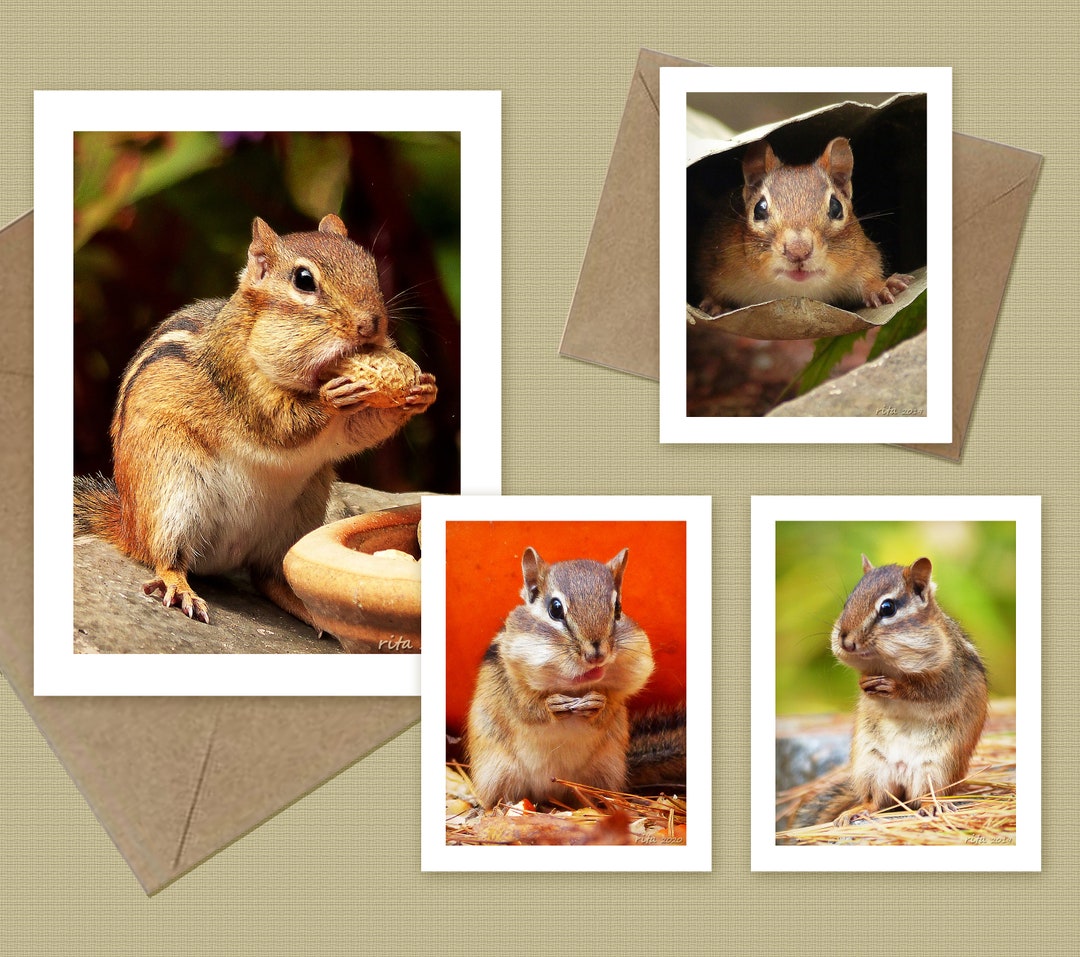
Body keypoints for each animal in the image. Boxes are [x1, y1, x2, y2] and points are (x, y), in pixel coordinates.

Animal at [73, 214, 436, 625]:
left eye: (372, 268)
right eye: (304, 280)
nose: (371, 325)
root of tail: (127, 524)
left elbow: (357, 432)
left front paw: (422, 390)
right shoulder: (240, 383)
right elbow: (280, 424)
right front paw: (332, 397)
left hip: (302, 513)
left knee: (269, 577)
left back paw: (310, 612)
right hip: (171, 490)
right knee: (164, 557)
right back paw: (179, 586)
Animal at [465, 546, 661, 809]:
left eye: (618, 608)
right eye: (555, 609)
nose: (596, 655)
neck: (574, 688)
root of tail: (548, 790)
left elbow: (610, 704)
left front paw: (597, 703)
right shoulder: (511, 685)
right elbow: (527, 706)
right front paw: (553, 704)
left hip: (605, 771)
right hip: (497, 772)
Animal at [694, 136, 914, 316]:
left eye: (836, 207)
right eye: (759, 209)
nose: (798, 251)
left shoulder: (863, 254)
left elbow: (870, 270)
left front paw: (882, 286)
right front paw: (715, 304)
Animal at [797, 555, 988, 828]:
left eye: (887, 608)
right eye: (848, 602)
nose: (845, 640)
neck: (889, 662)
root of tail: (902, 774)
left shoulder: (951, 674)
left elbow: (928, 690)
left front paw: (894, 686)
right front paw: (865, 683)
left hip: (937, 769)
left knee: (927, 795)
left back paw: (932, 806)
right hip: (870, 767)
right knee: (878, 801)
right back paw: (856, 810)